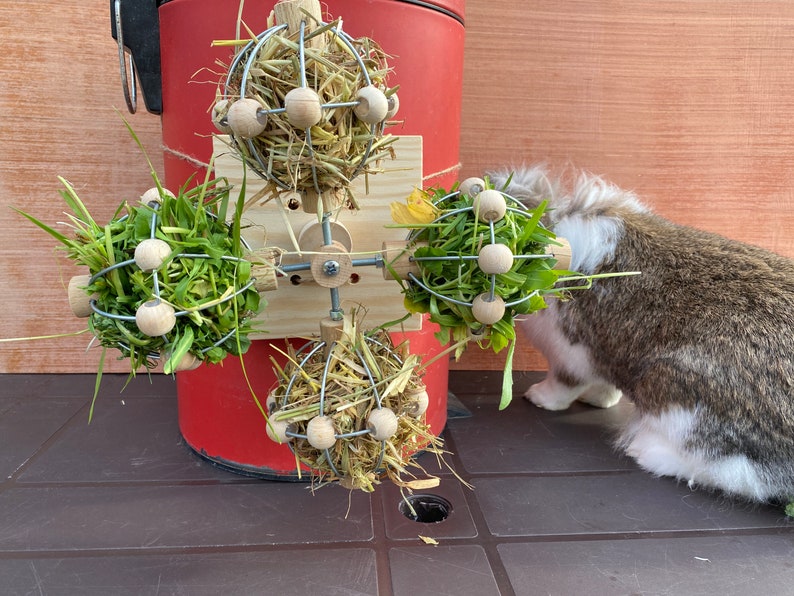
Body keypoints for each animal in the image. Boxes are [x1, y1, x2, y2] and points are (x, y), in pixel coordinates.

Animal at [488, 165, 794, 504]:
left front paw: (538, 398)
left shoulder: (571, 355)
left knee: (738, 474)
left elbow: (563, 384)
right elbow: (605, 386)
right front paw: (600, 402)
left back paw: (646, 452)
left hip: (677, 394)